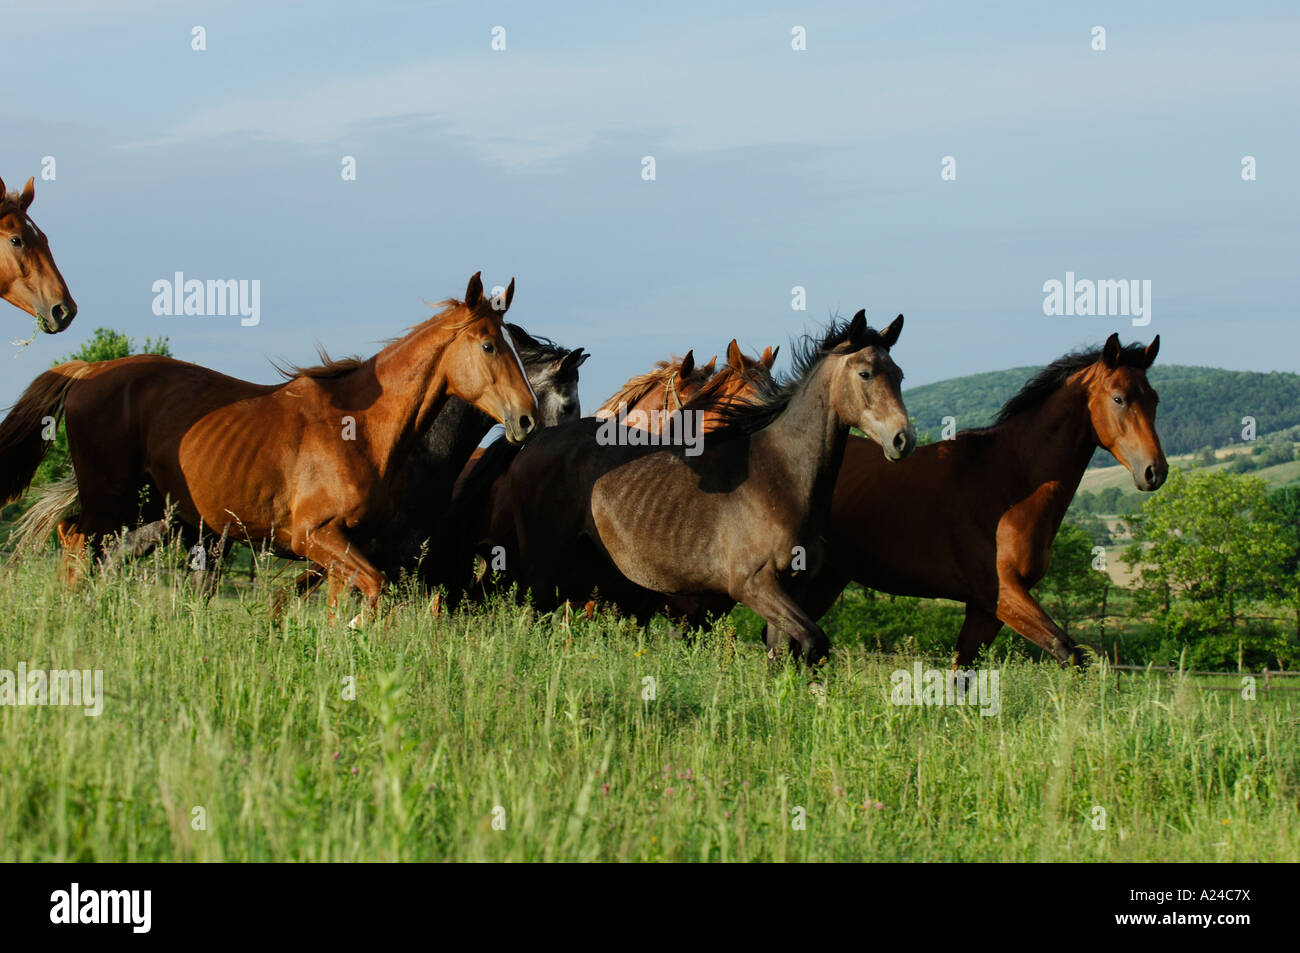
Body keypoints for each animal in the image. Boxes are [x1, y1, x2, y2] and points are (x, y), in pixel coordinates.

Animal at [0, 271, 538, 616]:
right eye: (489, 345)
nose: (527, 419)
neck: (361, 429)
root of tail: (88, 370)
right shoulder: (315, 537)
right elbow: (374, 591)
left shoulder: (345, 548)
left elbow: (346, 604)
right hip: (111, 499)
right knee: (76, 542)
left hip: (149, 505)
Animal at [480, 311, 912, 664]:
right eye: (865, 373)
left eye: (900, 375)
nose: (902, 440)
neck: (780, 479)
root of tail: (536, 442)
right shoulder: (752, 585)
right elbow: (813, 643)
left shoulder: (789, 589)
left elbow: (787, 653)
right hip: (545, 568)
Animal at [794, 332, 1166, 666]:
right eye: (1118, 399)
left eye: (1154, 399)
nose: (1155, 471)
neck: (1009, 483)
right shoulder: (1002, 594)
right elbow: (1068, 651)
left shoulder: (984, 611)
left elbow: (963, 671)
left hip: (828, 579)